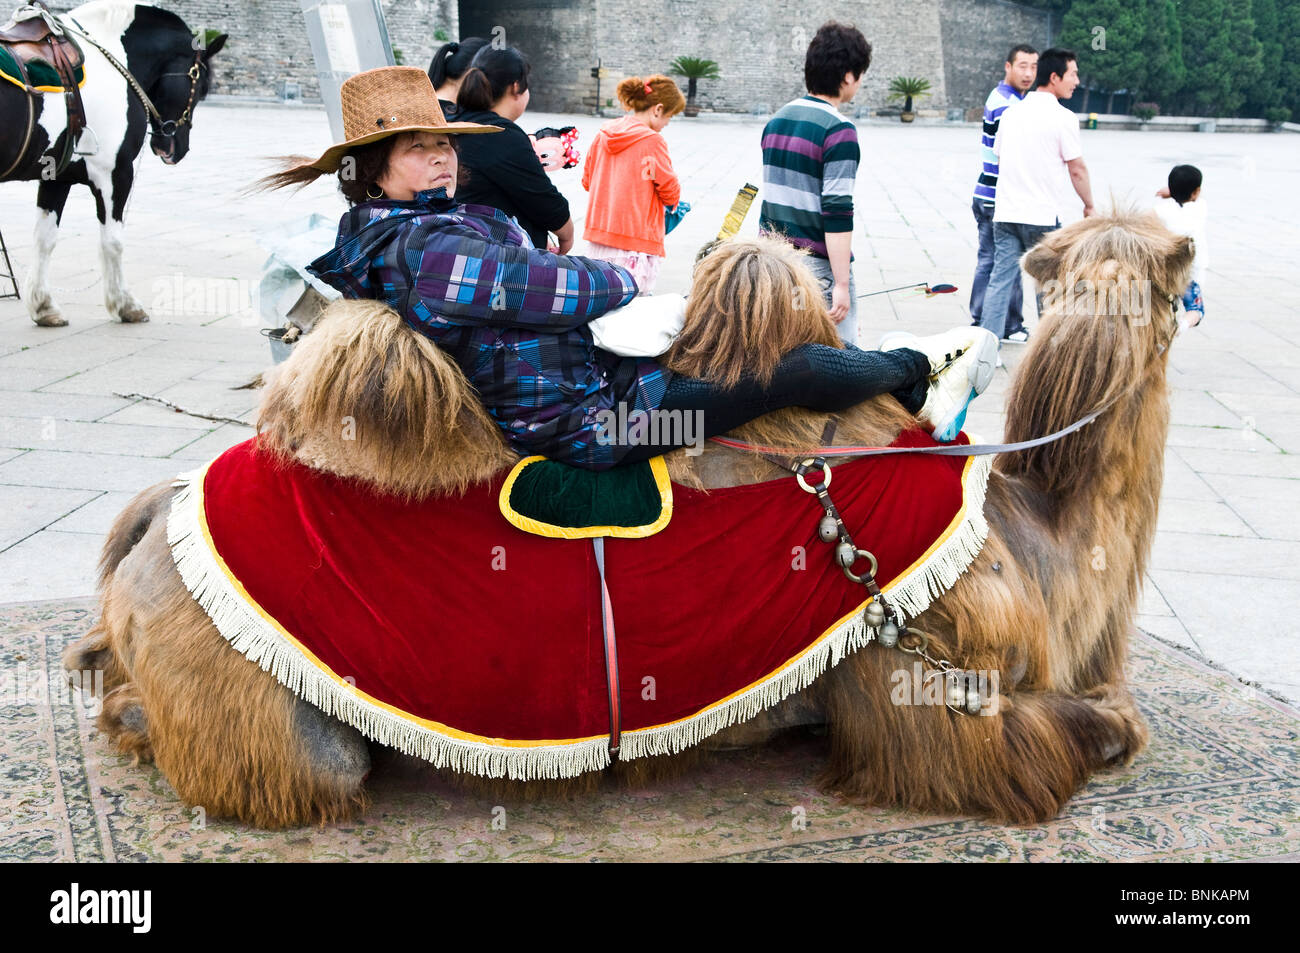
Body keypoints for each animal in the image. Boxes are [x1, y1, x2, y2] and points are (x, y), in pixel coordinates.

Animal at [63, 211, 1194, 828]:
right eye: (1183, 276)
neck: (1040, 529)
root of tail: (159, 517)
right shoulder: (924, 694)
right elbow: (1095, 729)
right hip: (280, 724)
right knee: (295, 762)